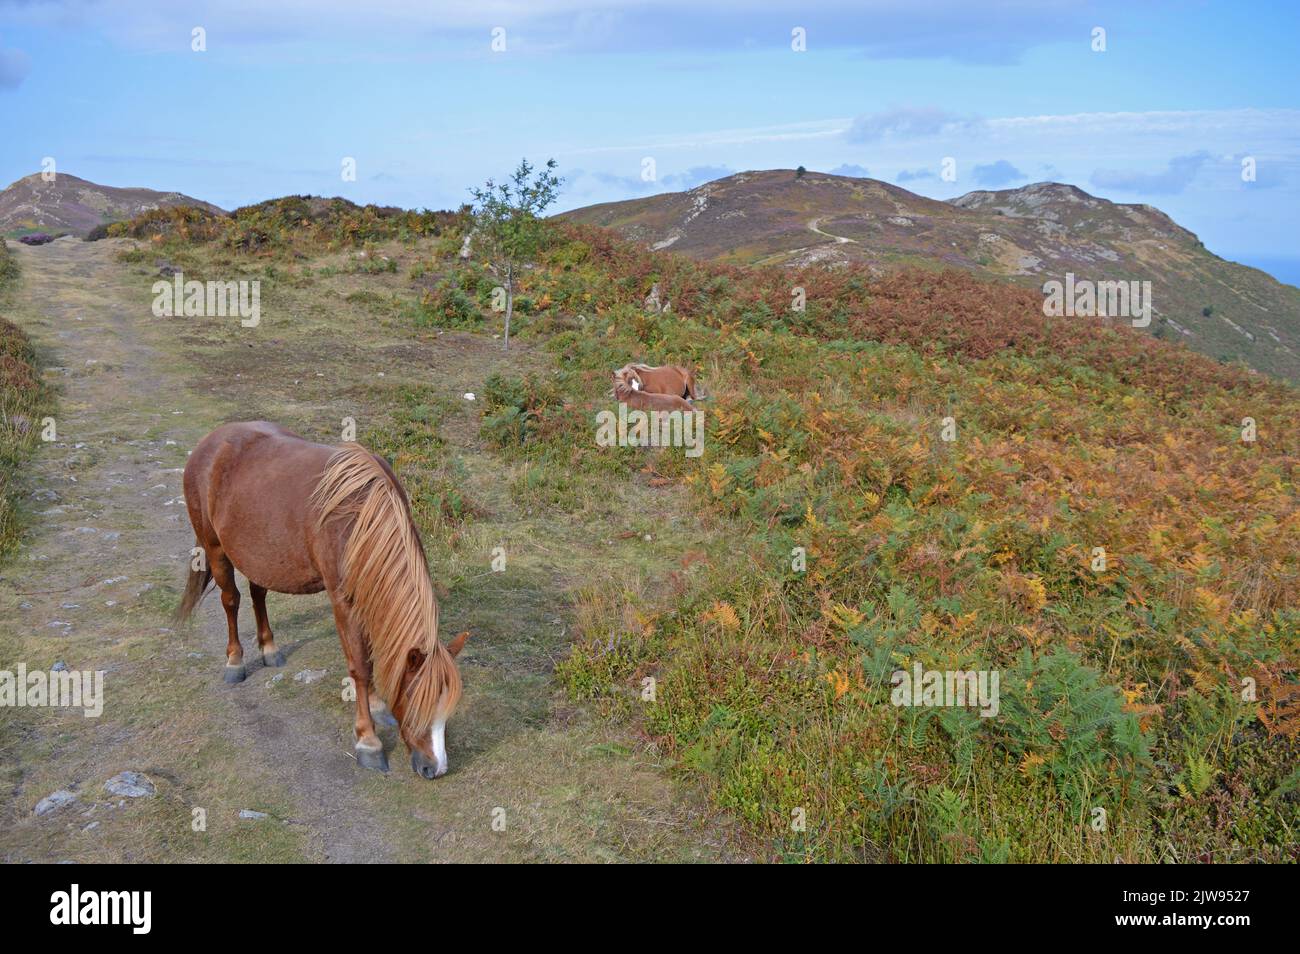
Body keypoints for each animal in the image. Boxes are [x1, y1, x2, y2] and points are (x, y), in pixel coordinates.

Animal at [175, 421, 467, 778]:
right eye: (416, 705)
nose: (435, 768)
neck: (360, 519)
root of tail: (211, 443)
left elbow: (369, 655)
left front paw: (377, 705)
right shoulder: (343, 601)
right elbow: (359, 665)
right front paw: (368, 741)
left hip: (261, 557)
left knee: (259, 594)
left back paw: (269, 649)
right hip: (215, 549)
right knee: (231, 601)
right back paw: (235, 662)